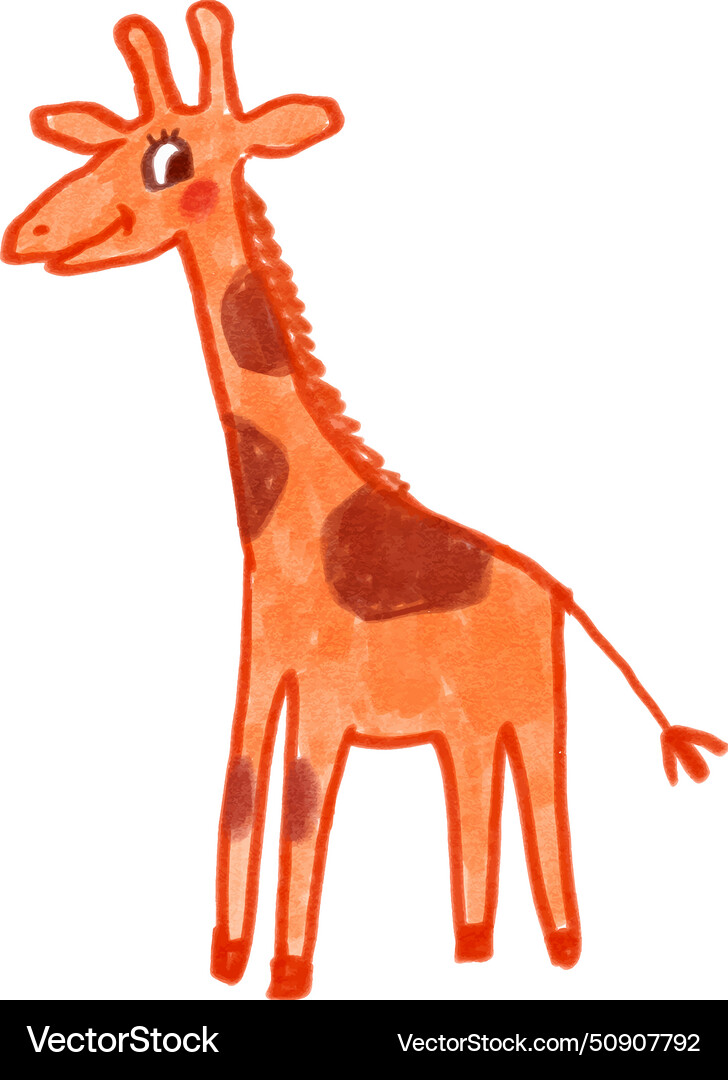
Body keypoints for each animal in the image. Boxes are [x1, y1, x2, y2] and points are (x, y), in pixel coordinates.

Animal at [2, 2, 726, 1001]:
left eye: (167, 161)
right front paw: (227, 962)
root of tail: (562, 598)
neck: (287, 515)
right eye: (100, 142)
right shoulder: (264, 668)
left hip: (535, 714)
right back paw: (472, 950)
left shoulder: (327, 692)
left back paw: (559, 951)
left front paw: (285, 971)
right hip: (469, 724)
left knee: (546, 802)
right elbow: (240, 793)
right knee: (476, 801)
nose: (27, 233)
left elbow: (304, 808)